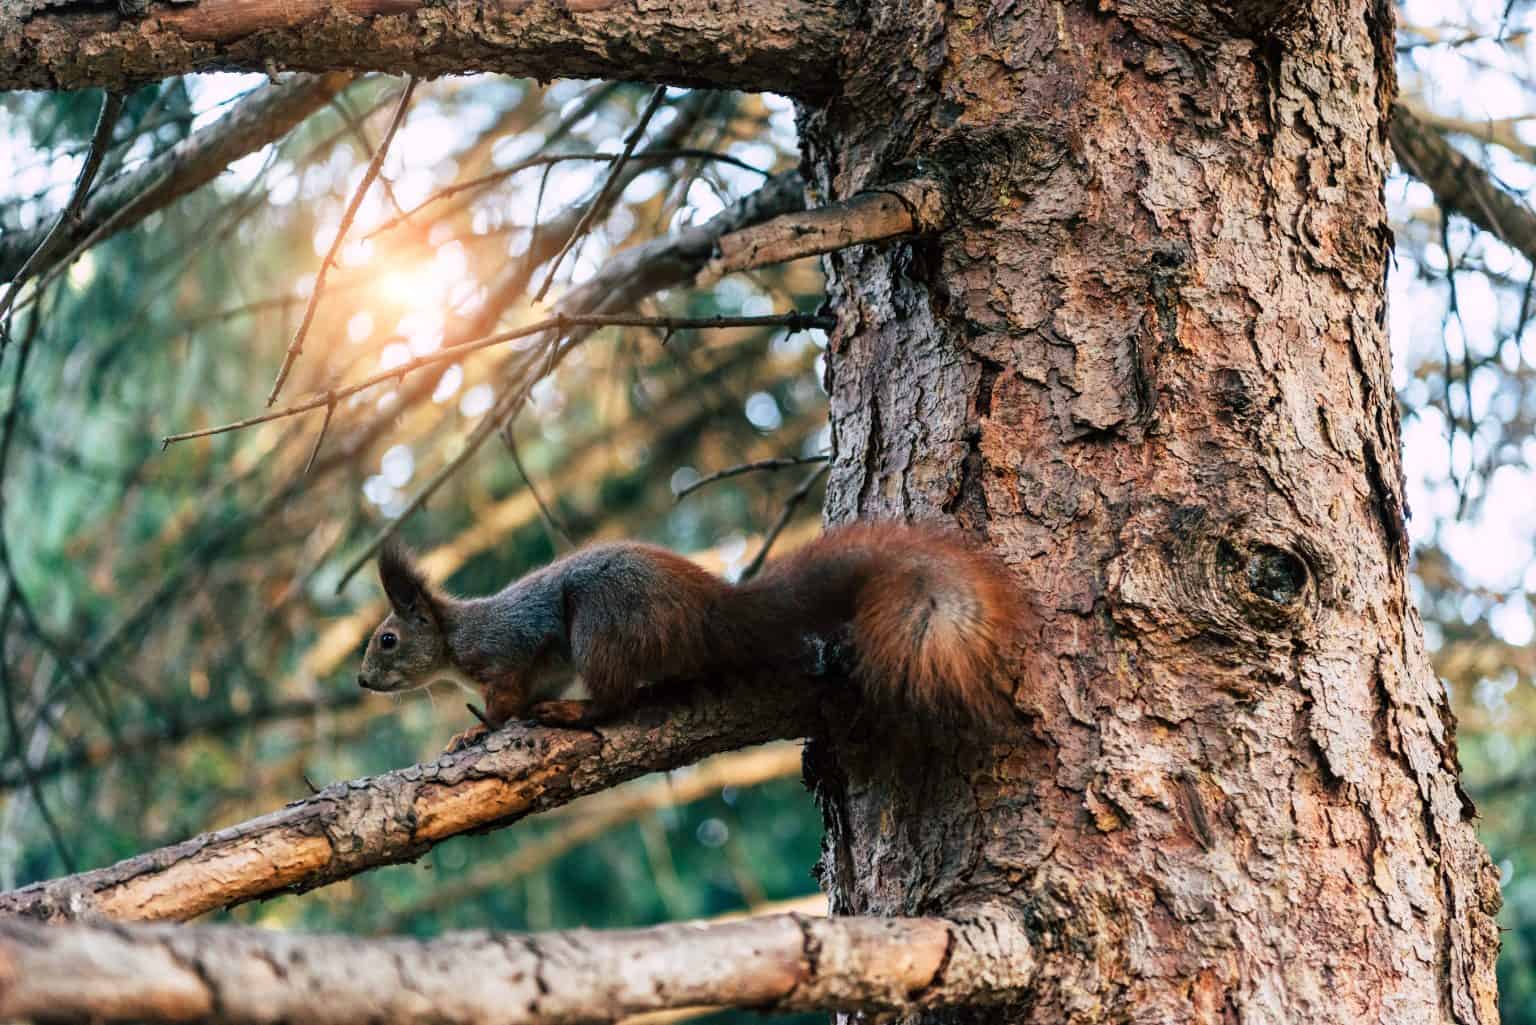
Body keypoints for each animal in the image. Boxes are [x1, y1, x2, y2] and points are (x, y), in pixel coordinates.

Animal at [357, 521, 1021, 748]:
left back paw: (571, 715)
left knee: (614, 699)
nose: (362, 681)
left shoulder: (505, 654)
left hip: (603, 623)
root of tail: (712, 611)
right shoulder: (544, 666)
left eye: (387, 640)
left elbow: (504, 702)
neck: (453, 637)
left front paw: (473, 730)